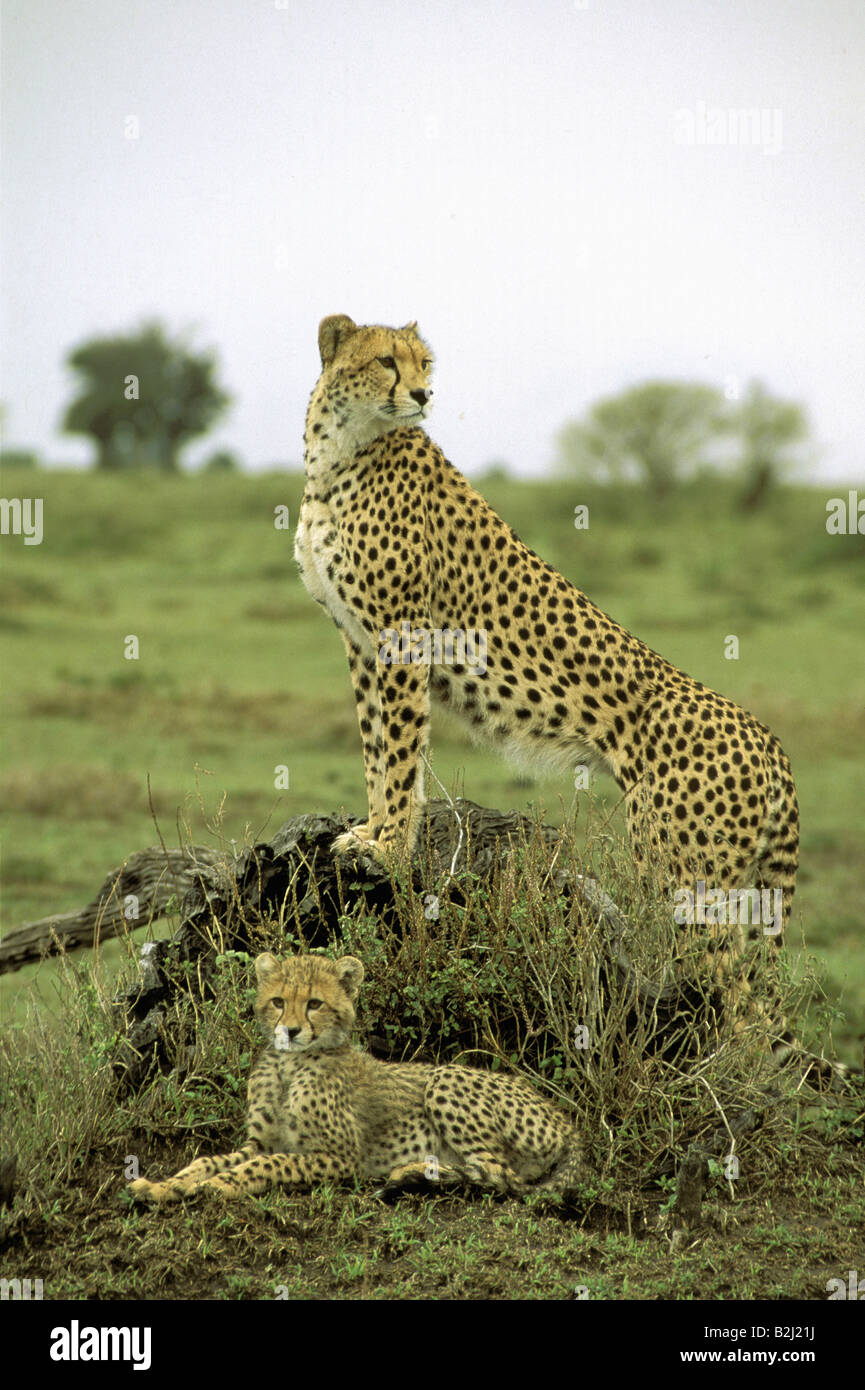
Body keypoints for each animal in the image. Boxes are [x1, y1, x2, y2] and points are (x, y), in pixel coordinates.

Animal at [127, 953, 584, 1203]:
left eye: (314, 1003)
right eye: (278, 1001)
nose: (290, 1030)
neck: (289, 1065)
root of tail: (566, 1119)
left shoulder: (338, 1155)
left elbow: (268, 1164)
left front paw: (219, 1186)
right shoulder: (260, 1140)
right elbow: (209, 1159)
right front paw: (165, 1186)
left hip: (445, 1078)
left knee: (499, 1175)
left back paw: (409, 1172)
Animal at [292, 313, 829, 1078]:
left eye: (423, 362)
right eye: (386, 362)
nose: (424, 395)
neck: (340, 451)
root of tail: (767, 737)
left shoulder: (400, 637)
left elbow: (397, 756)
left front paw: (389, 849)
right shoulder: (361, 643)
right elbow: (375, 750)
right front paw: (370, 832)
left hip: (681, 869)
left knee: (741, 1000)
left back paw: (714, 1079)